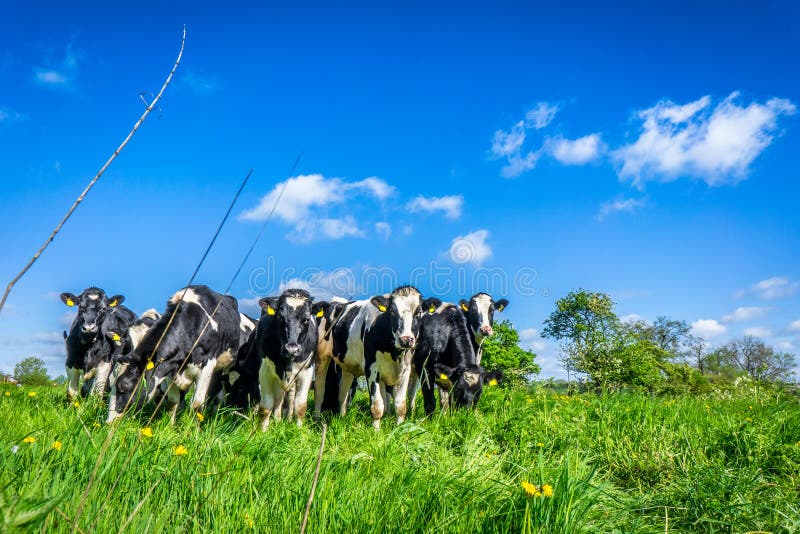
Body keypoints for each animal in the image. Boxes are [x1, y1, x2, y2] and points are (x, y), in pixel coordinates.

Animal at [107, 285, 240, 423]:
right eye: (110, 382)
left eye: (123, 386)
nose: (109, 423)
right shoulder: (169, 368)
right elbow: (173, 401)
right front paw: (171, 425)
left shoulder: (207, 366)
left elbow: (197, 404)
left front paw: (193, 428)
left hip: (225, 367)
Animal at [330, 286, 440, 429]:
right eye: (392, 311)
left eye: (419, 312)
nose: (406, 340)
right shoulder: (371, 369)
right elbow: (377, 405)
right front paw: (376, 430)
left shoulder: (405, 371)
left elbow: (400, 405)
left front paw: (399, 428)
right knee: (341, 392)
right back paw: (339, 416)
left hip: (348, 367)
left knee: (344, 390)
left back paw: (342, 417)